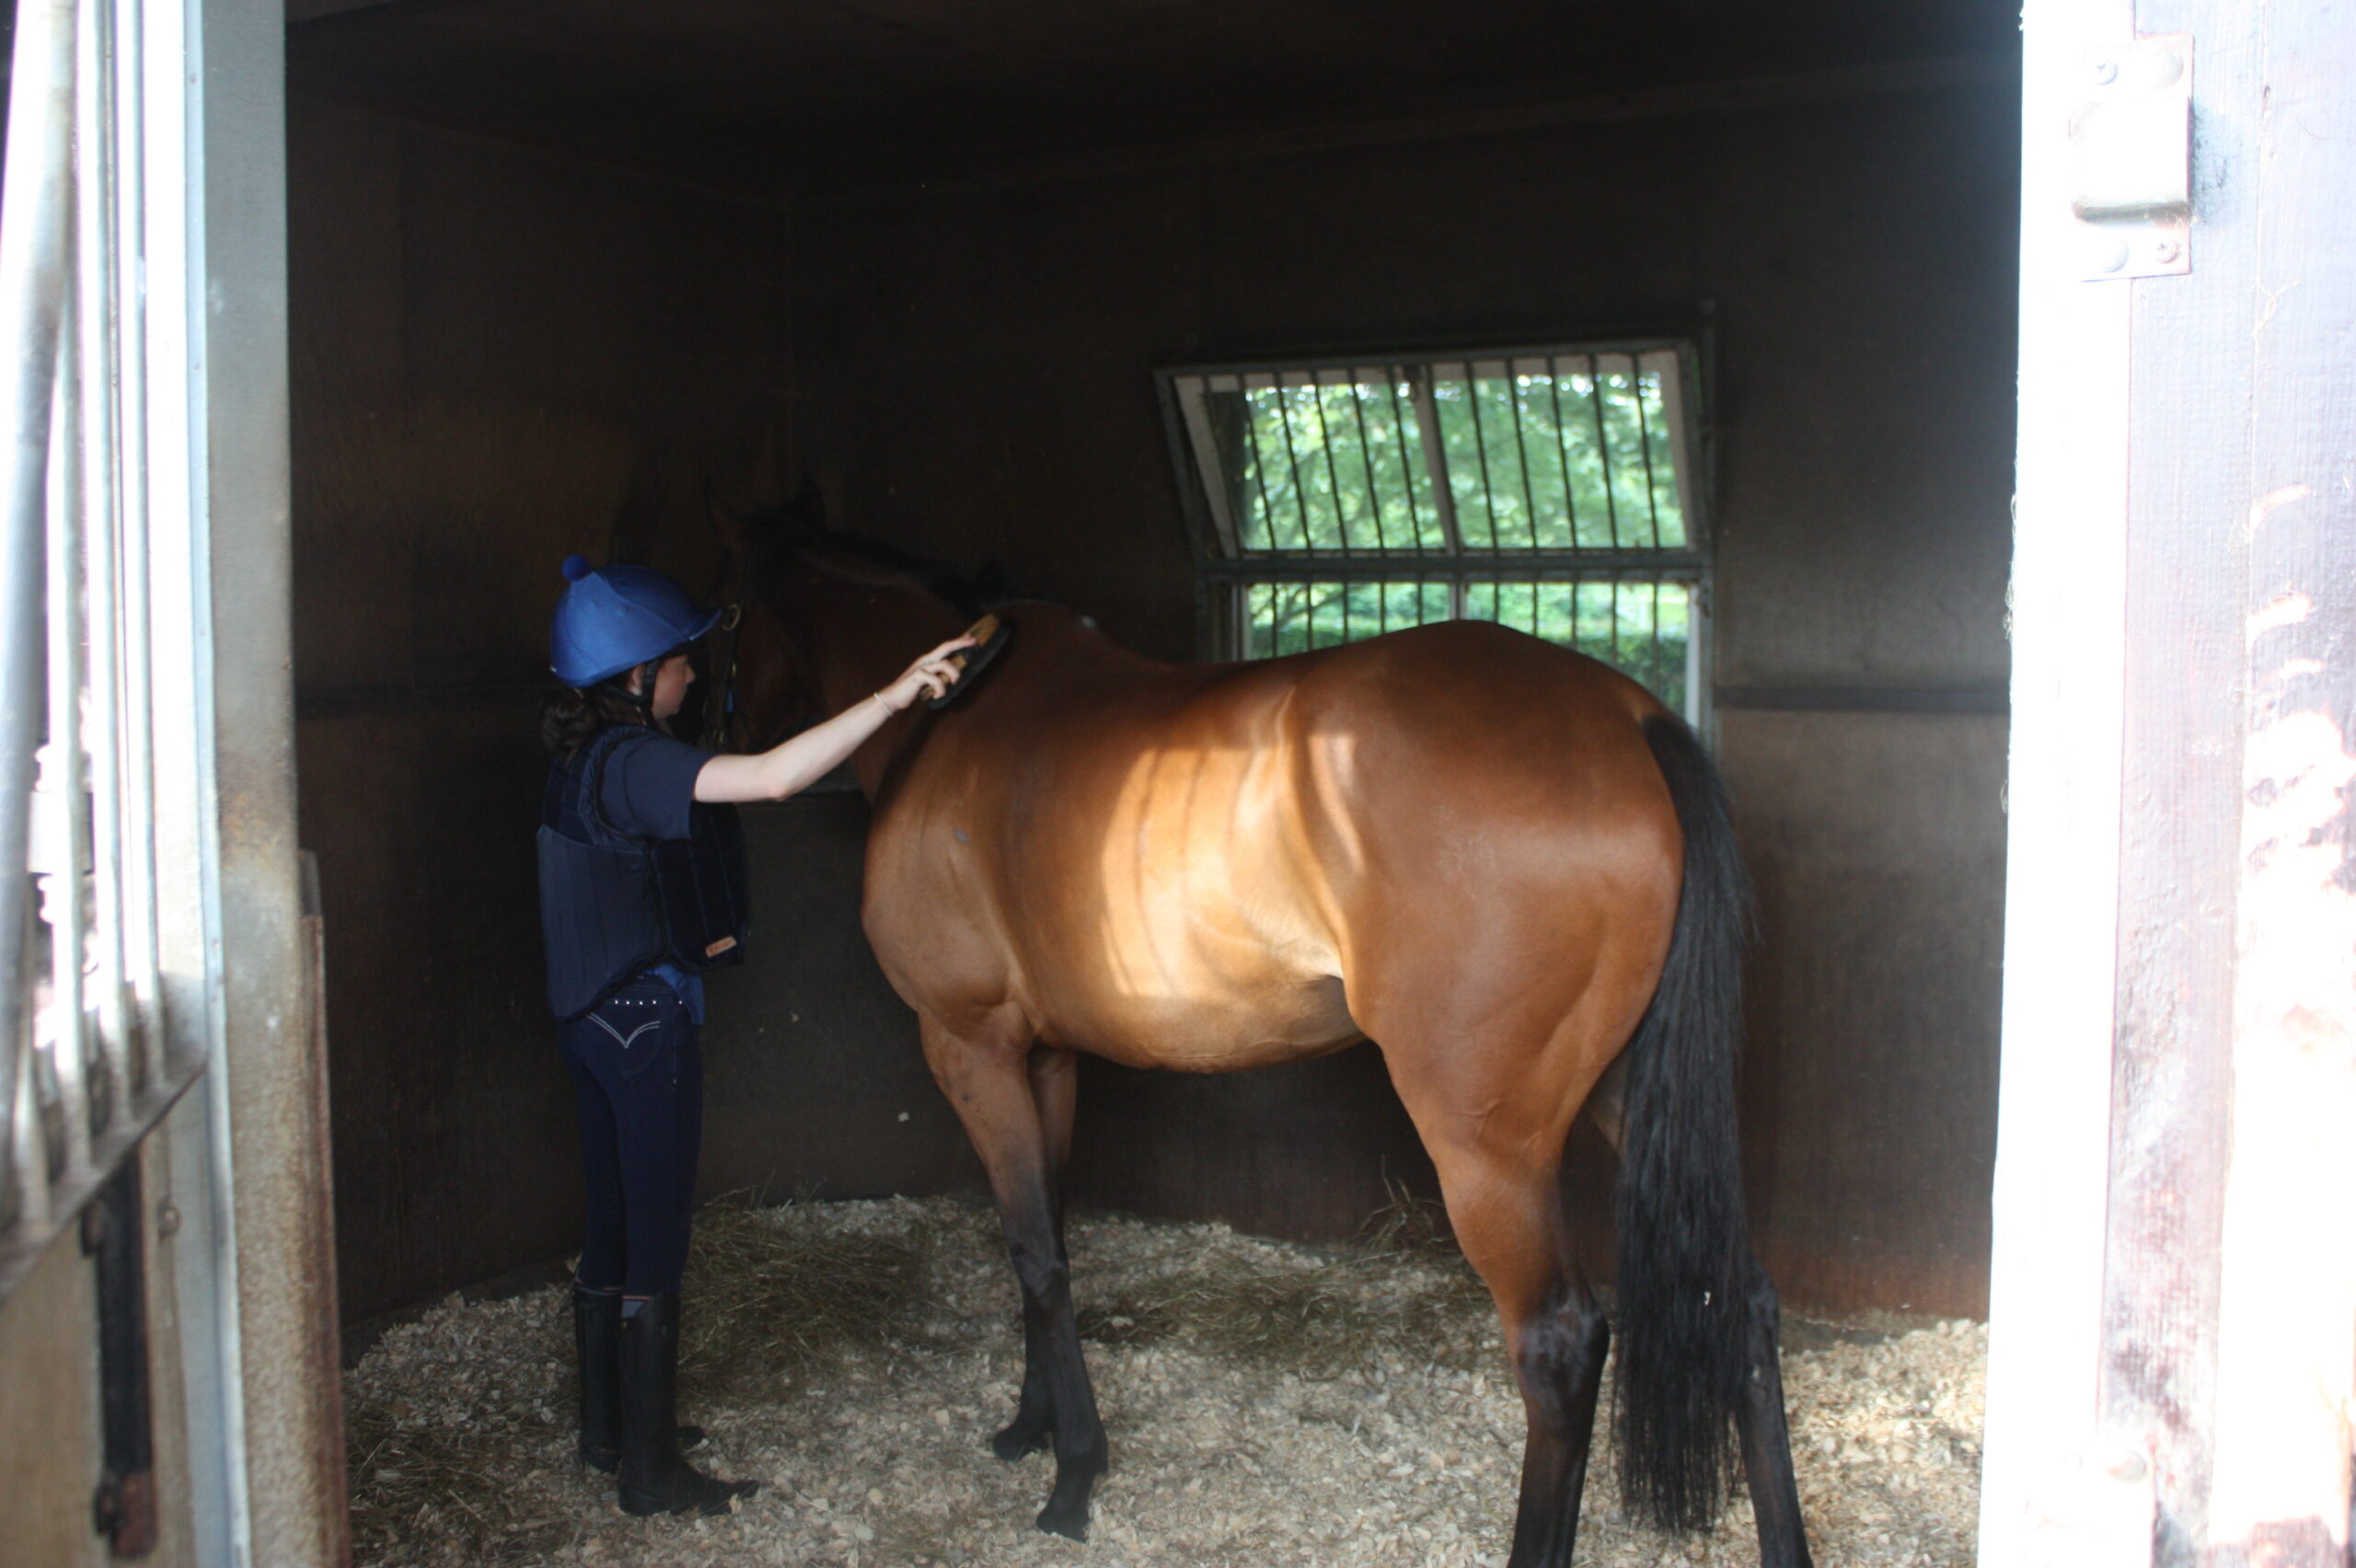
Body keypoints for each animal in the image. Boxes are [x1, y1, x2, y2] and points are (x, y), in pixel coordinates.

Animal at [702, 500, 1814, 1568]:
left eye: (722, 615)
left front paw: (1072, 1477)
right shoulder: (1044, 1056)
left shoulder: (965, 1043)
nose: (729, 735)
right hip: (1625, 1092)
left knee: (1561, 1344)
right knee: (1741, 1304)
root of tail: (1628, 718)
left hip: (1488, 1146)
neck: (956, 716)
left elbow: (1033, 1251)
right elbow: (1047, 1233)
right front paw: (1032, 1428)